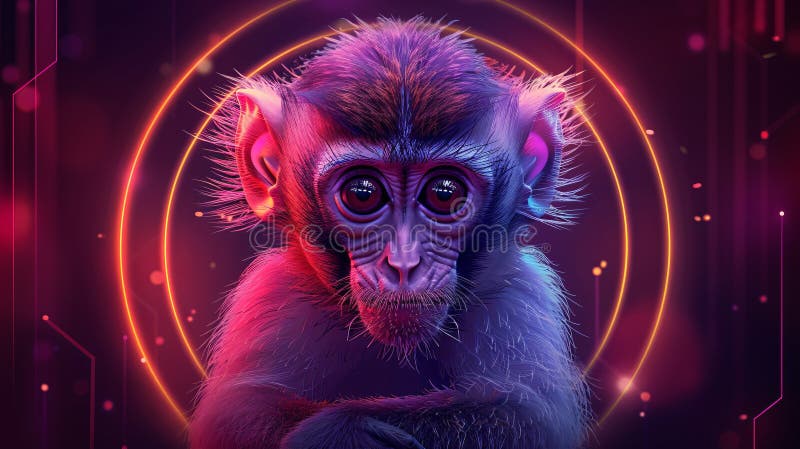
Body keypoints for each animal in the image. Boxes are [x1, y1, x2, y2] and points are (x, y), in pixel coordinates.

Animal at [191, 17, 589, 449]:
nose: (403, 265)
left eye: (444, 193)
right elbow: (235, 411)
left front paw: (338, 430)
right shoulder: (273, 289)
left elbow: (528, 416)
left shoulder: (519, 290)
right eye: (362, 194)